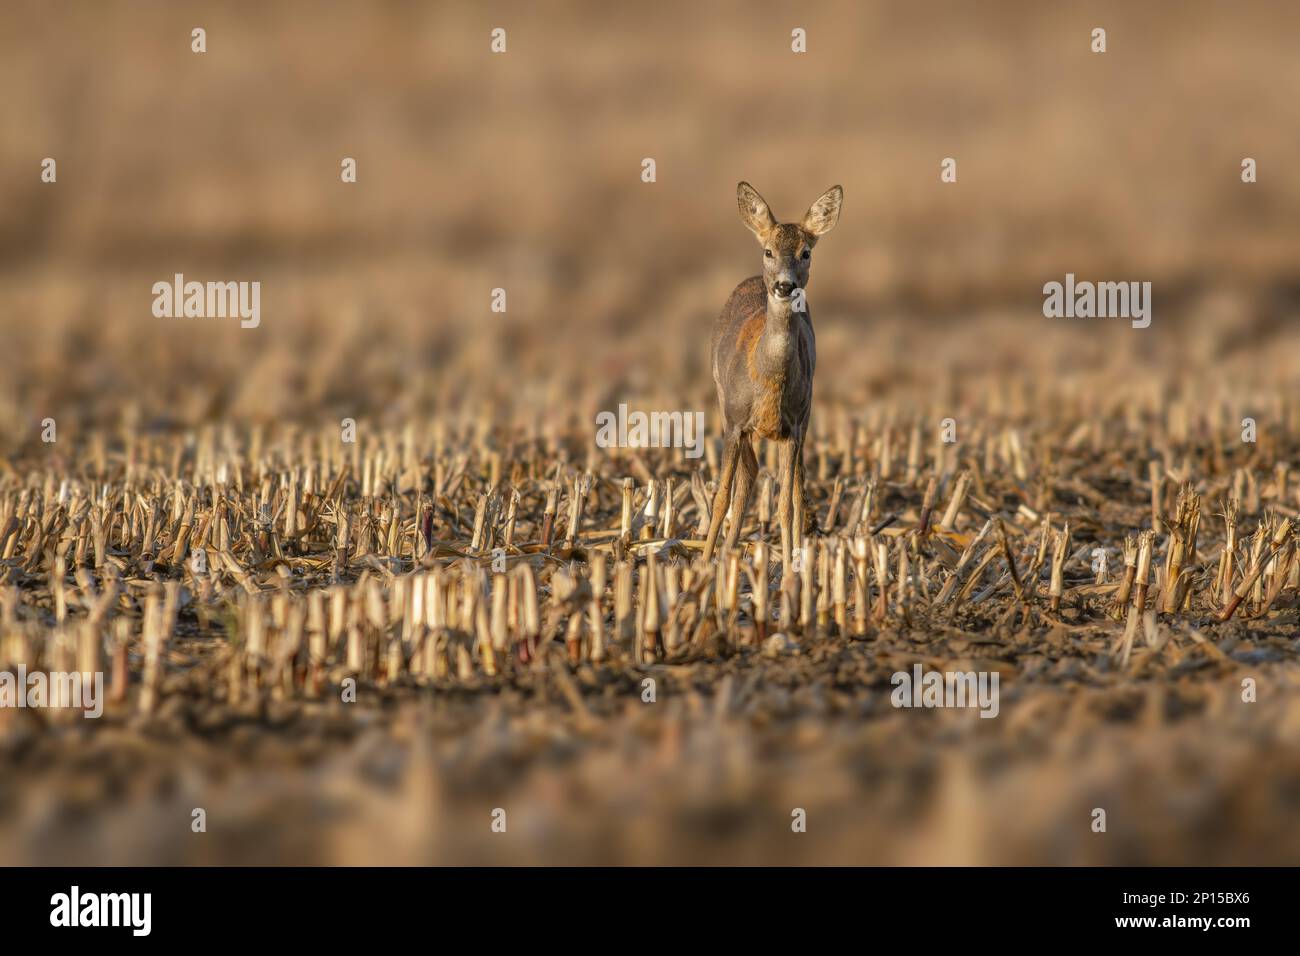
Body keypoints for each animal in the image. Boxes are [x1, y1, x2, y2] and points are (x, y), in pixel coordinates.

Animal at [702, 181, 843, 579]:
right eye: (768, 251)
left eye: (805, 252)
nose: (784, 285)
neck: (766, 377)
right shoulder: (734, 422)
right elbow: (721, 496)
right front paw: (702, 564)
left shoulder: (792, 426)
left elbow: (786, 502)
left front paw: (792, 570)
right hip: (724, 404)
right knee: (747, 476)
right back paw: (726, 552)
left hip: (804, 419)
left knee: (792, 487)